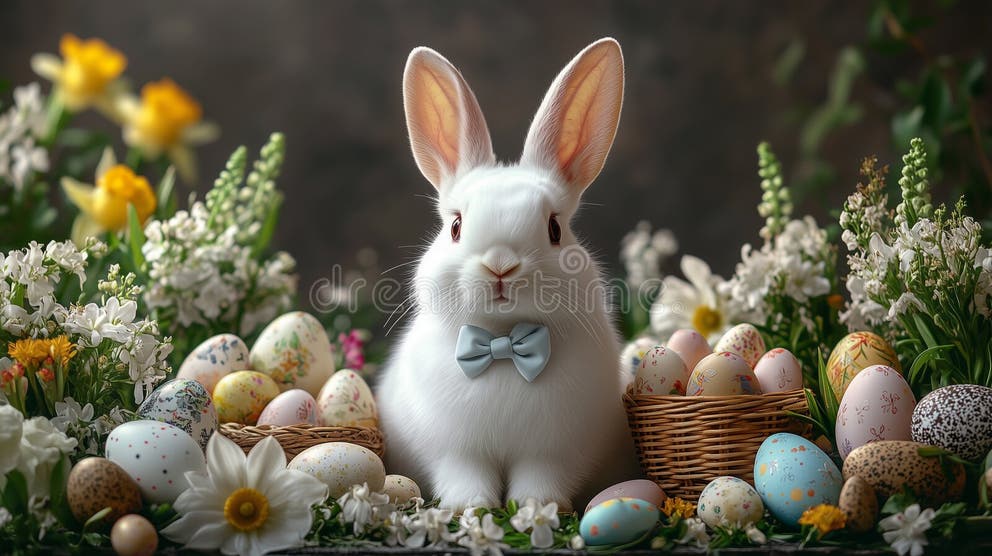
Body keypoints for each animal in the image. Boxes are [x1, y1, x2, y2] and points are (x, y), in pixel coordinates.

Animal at [376, 37, 638, 512]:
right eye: (456, 226)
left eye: (554, 229)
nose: (500, 264)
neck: (502, 345)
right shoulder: (457, 451)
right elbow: (465, 477)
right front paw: (471, 508)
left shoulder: (553, 453)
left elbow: (540, 480)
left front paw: (535, 509)